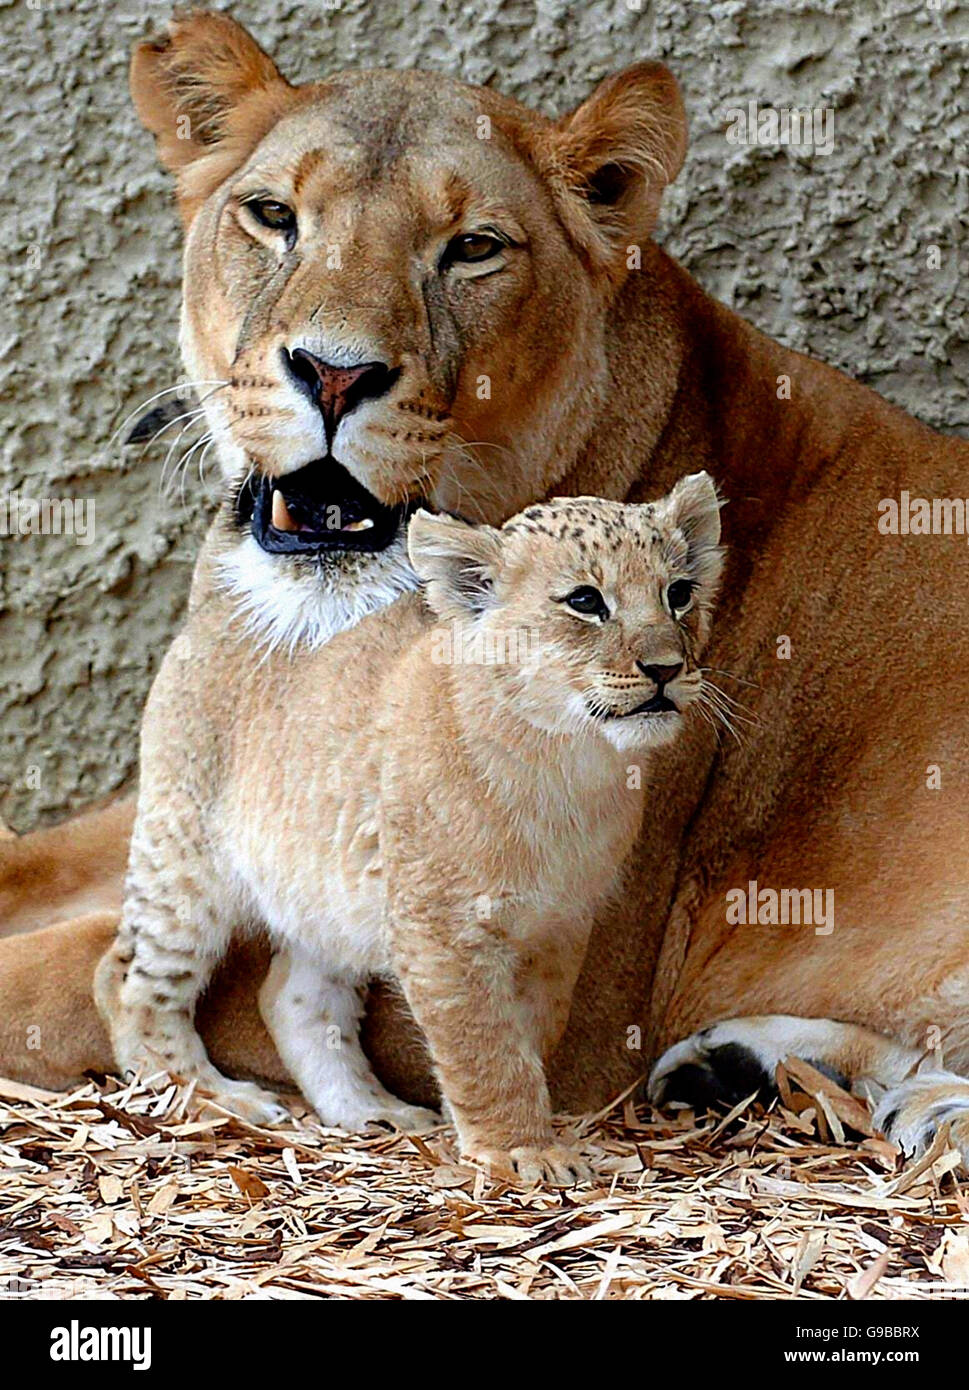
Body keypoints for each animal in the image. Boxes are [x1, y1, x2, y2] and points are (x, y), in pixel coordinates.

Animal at [94, 479, 723, 1185]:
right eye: (586, 601)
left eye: (679, 593)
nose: (667, 667)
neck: (568, 760)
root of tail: (213, 612)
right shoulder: (441, 926)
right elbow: (482, 1043)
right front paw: (520, 1151)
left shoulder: (557, 928)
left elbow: (528, 1032)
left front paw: (502, 1127)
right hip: (186, 858)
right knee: (128, 979)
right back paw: (212, 1097)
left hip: (324, 887)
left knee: (291, 998)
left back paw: (373, 1112)